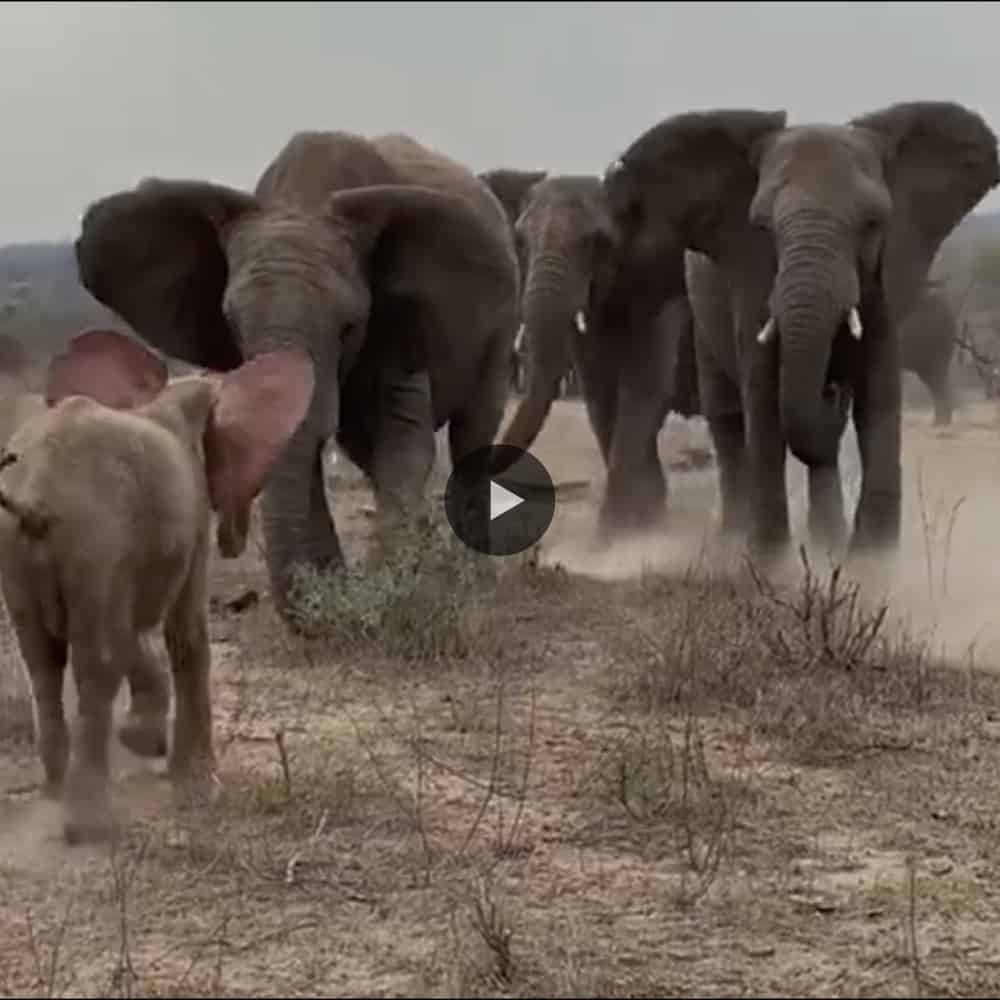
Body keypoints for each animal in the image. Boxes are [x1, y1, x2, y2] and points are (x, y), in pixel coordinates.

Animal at [0, 328, 315, 844]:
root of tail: (36, 493)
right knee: (96, 661)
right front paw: (201, 789)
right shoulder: (191, 518)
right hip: (95, 538)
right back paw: (89, 826)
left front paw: (146, 741)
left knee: (43, 661)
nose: (235, 540)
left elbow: (138, 632)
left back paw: (55, 791)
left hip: (19, 552)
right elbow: (186, 634)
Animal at [73, 131, 520, 623]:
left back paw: (475, 580)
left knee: (472, 432)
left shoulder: (398, 322)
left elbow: (402, 439)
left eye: (349, 327)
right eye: (230, 323)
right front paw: (347, 590)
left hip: (500, 331)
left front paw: (393, 591)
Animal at [478, 167, 701, 541]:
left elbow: (643, 389)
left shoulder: (668, 290)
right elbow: (601, 393)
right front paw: (642, 524)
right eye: (521, 241)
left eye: (599, 243)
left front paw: (613, 538)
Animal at [603, 102, 998, 562]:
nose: (832, 391)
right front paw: (771, 564)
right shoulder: (752, 277)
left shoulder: (887, 277)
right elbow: (764, 399)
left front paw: (874, 565)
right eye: (761, 225)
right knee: (728, 418)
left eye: (872, 223)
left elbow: (878, 401)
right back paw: (737, 541)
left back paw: (829, 543)